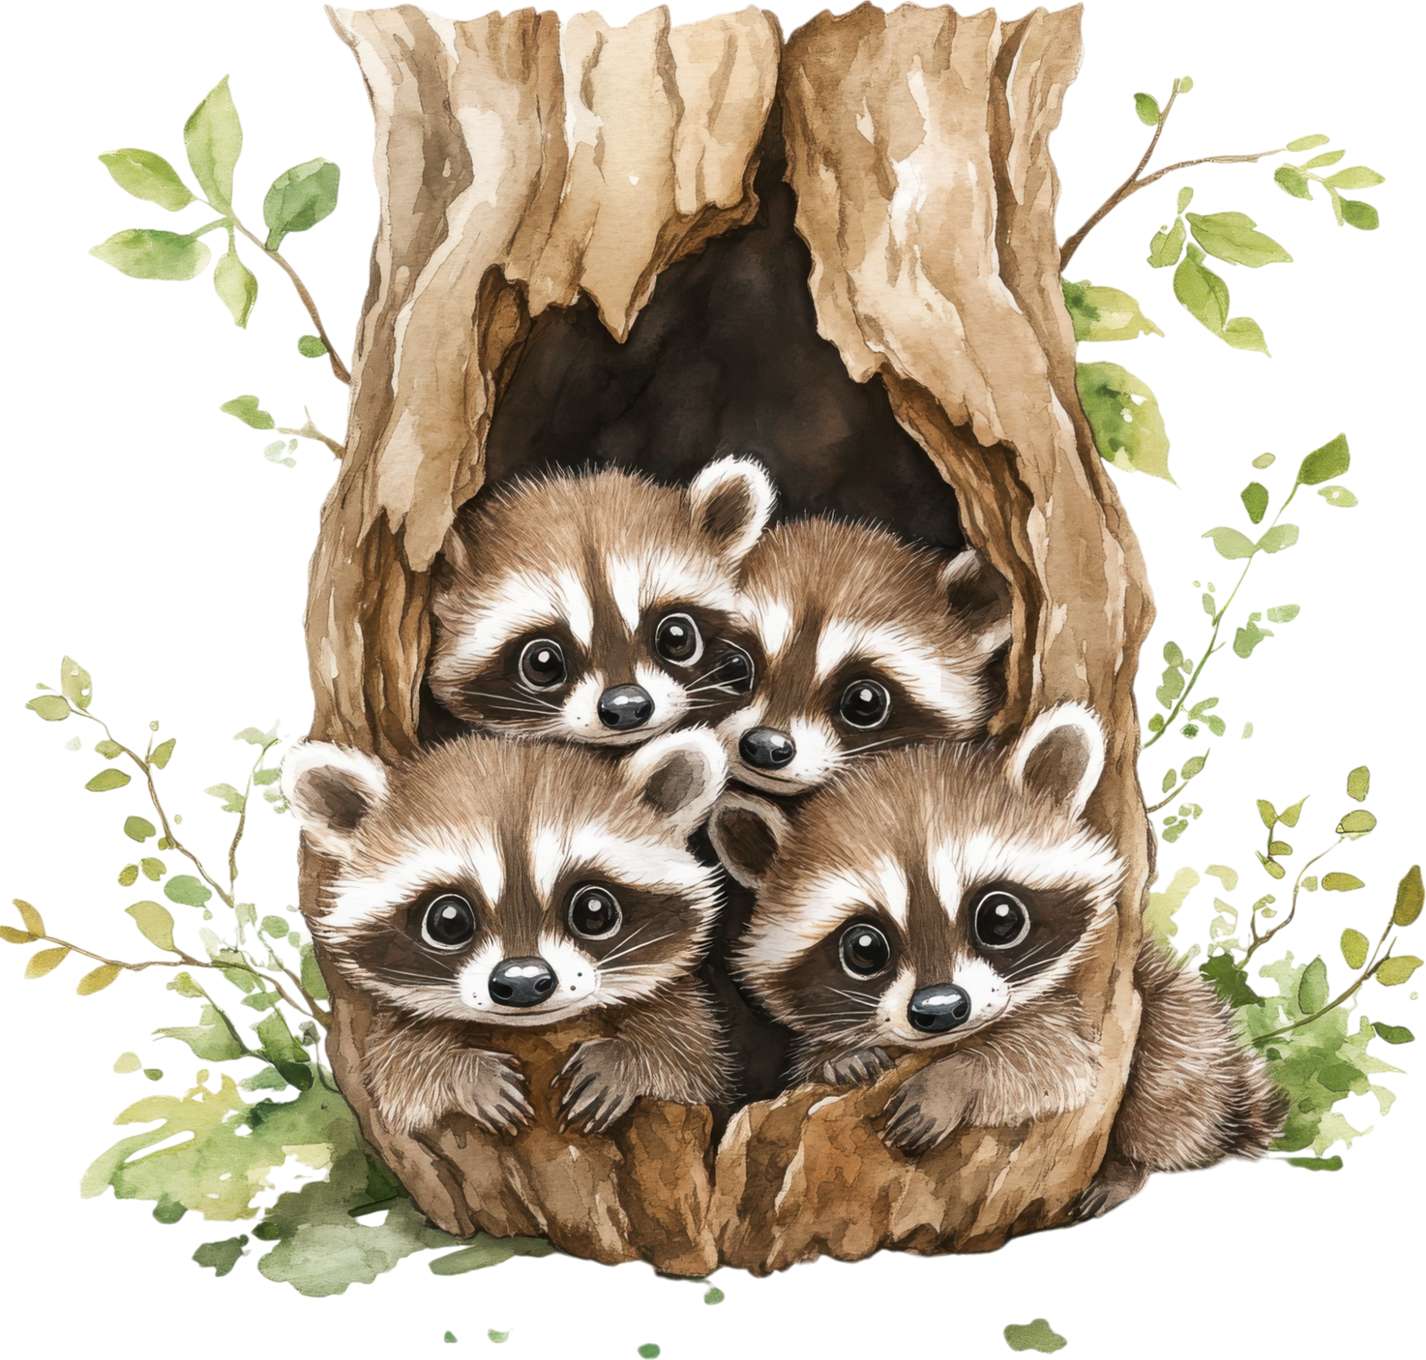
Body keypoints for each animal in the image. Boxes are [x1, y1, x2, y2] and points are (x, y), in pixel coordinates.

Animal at [280, 727, 734, 1136]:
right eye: (448, 921)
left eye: (594, 911)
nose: (523, 982)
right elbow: (400, 1080)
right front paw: (463, 1075)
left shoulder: (690, 1026)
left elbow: (691, 1058)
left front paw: (625, 1059)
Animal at [710, 704, 1287, 1220]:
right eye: (864, 948)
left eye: (1000, 918)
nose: (940, 1009)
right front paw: (836, 1055)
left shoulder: (1088, 1010)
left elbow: (1056, 1065)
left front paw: (955, 1080)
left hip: (1184, 1023)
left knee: (1174, 1077)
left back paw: (1131, 1164)